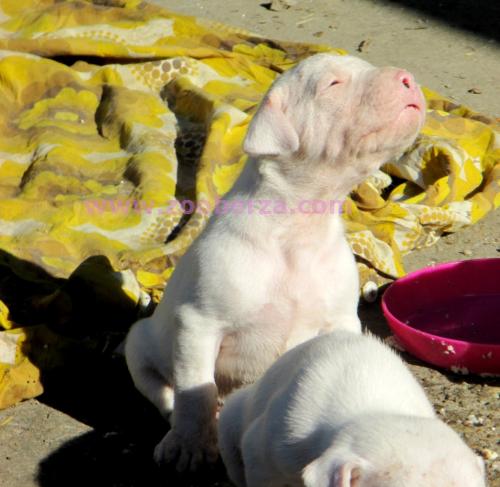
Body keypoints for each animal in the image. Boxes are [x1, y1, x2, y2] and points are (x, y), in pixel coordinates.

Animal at [125, 53, 426, 472]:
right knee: (164, 391)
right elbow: (195, 393)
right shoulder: (197, 324)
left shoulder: (340, 319)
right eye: (333, 84)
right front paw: (190, 446)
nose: (409, 79)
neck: (297, 229)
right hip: (138, 342)